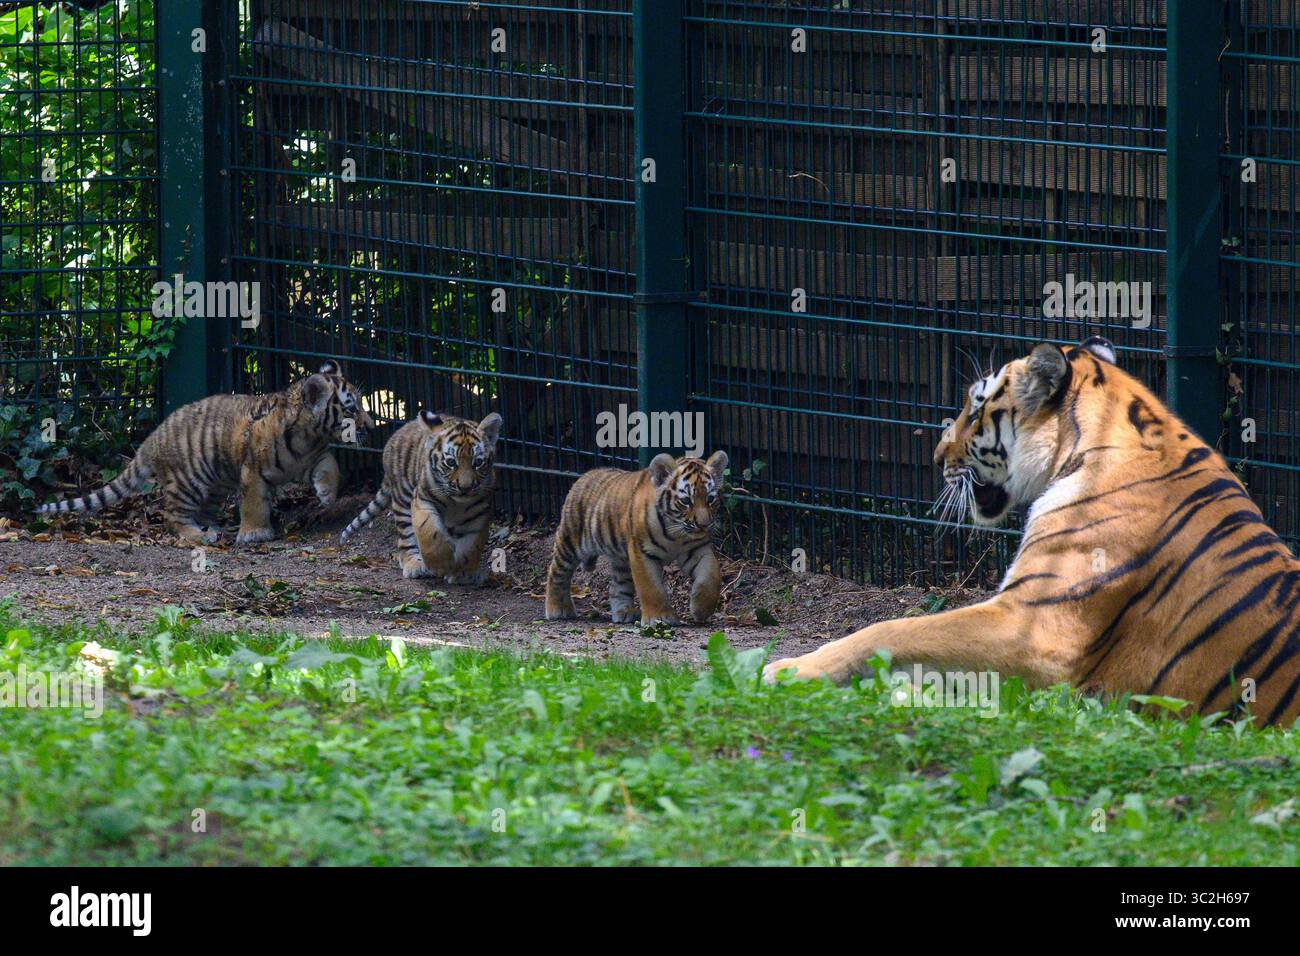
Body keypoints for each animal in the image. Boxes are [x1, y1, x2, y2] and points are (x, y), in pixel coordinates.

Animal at [35, 360, 372, 546]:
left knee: (203, 511)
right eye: (351, 408)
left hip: (216, 484)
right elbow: (253, 503)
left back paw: (217, 527)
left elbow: (331, 466)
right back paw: (199, 535)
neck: (308, 436)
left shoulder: (312, 457)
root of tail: (153, 437)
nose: (369, 425)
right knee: (172, 515)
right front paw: (254, 534)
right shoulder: (253, 471)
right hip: (189, 481)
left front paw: (327, 495)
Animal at [339, 409, 503, 583]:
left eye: (478, 462)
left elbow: (471, 545)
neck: (457, 503)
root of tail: (399, 431)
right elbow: (428, 531)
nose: (465, 487)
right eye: (451, 462)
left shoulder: (480, 514)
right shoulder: (422, 501)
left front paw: (464, 573)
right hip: (403, 498)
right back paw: (414, 565)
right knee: (405, 538)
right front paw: (440, 564)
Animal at [545, 451, 729, 627]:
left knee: (618, 586)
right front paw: (659, 617)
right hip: (571, 542)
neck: (676, 534)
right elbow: (650, 587)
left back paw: (624, 612)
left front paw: (701, 609)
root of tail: (584, 476)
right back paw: (557, 609)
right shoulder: (642, 551)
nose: (704, 524)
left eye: (710, 499)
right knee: (557, 573)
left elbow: (711, 577)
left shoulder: (697, 549)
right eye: (686, 501)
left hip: (621, 560)